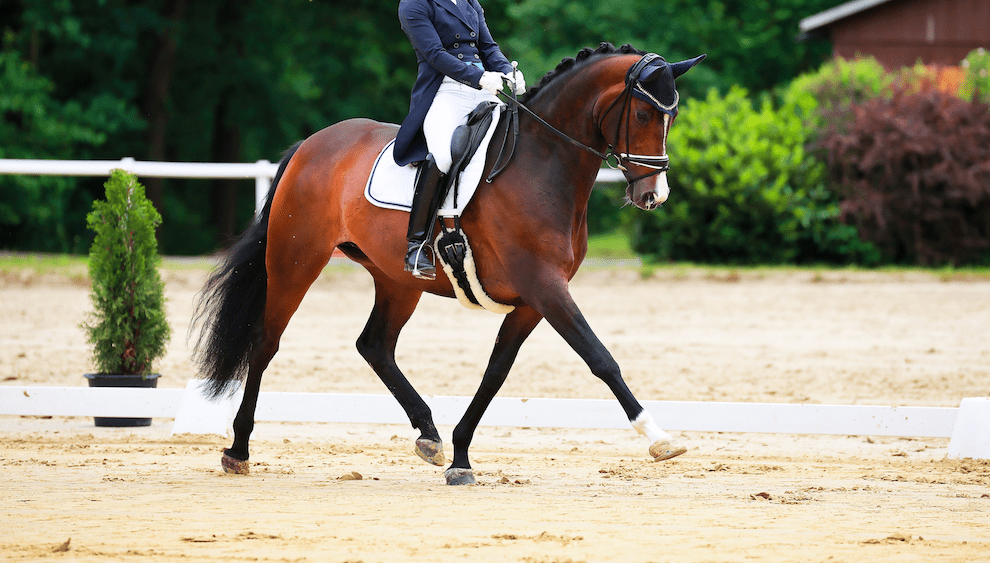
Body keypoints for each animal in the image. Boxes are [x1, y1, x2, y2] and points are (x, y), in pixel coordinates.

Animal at [192, 42, 705, 485]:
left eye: (673, 116)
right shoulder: (545, 287)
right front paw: (659, 438)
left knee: (374, 345)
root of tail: (310, 144)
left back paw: (430, 436)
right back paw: (237, 450)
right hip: (296, 260)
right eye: (643, 113)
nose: (653, 196)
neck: (542, 164)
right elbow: (600, 358)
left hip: (397, 280)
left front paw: (459, 456)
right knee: (265, 341)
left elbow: (496, 373)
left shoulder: (532, 300)